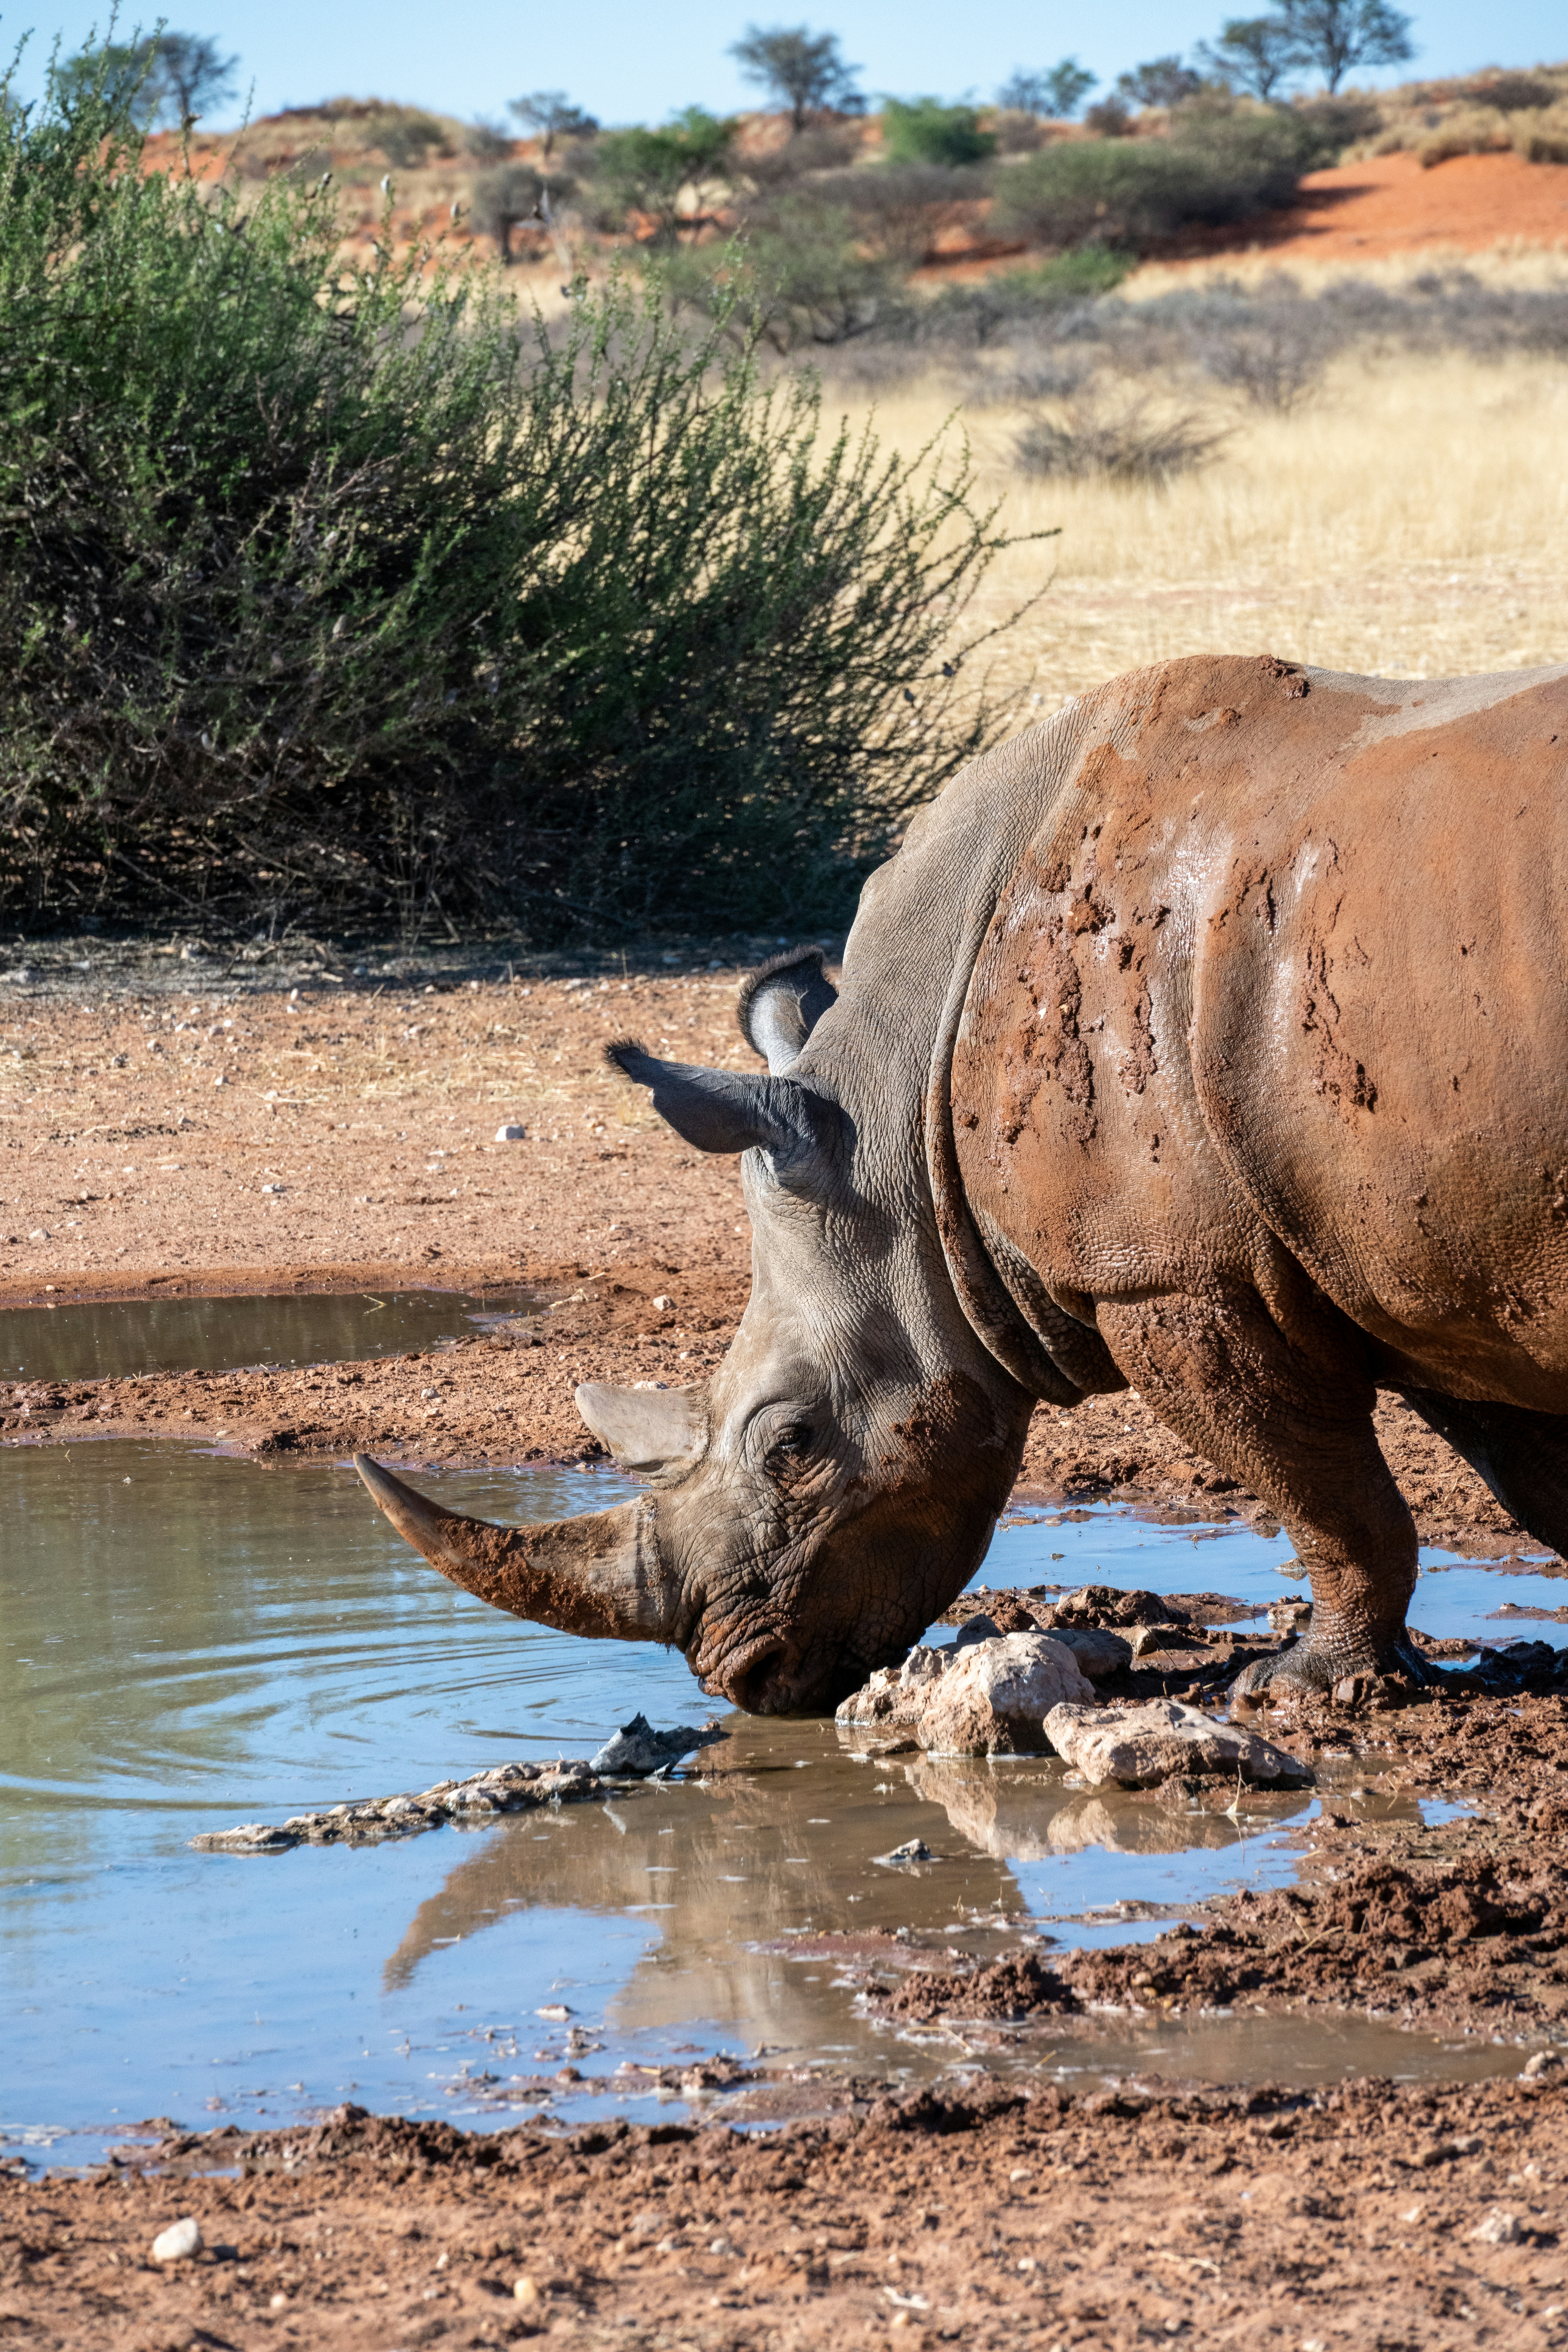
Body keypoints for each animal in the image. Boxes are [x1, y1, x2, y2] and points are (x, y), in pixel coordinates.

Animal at [357, 653, 1568, 1709]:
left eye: (793, 1444)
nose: (739, 1680)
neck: (903, 1119)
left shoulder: (1175, 1277)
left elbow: (1322, 1494)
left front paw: (1301, 1685)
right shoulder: (1425, 1248)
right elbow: (1528, 1475)